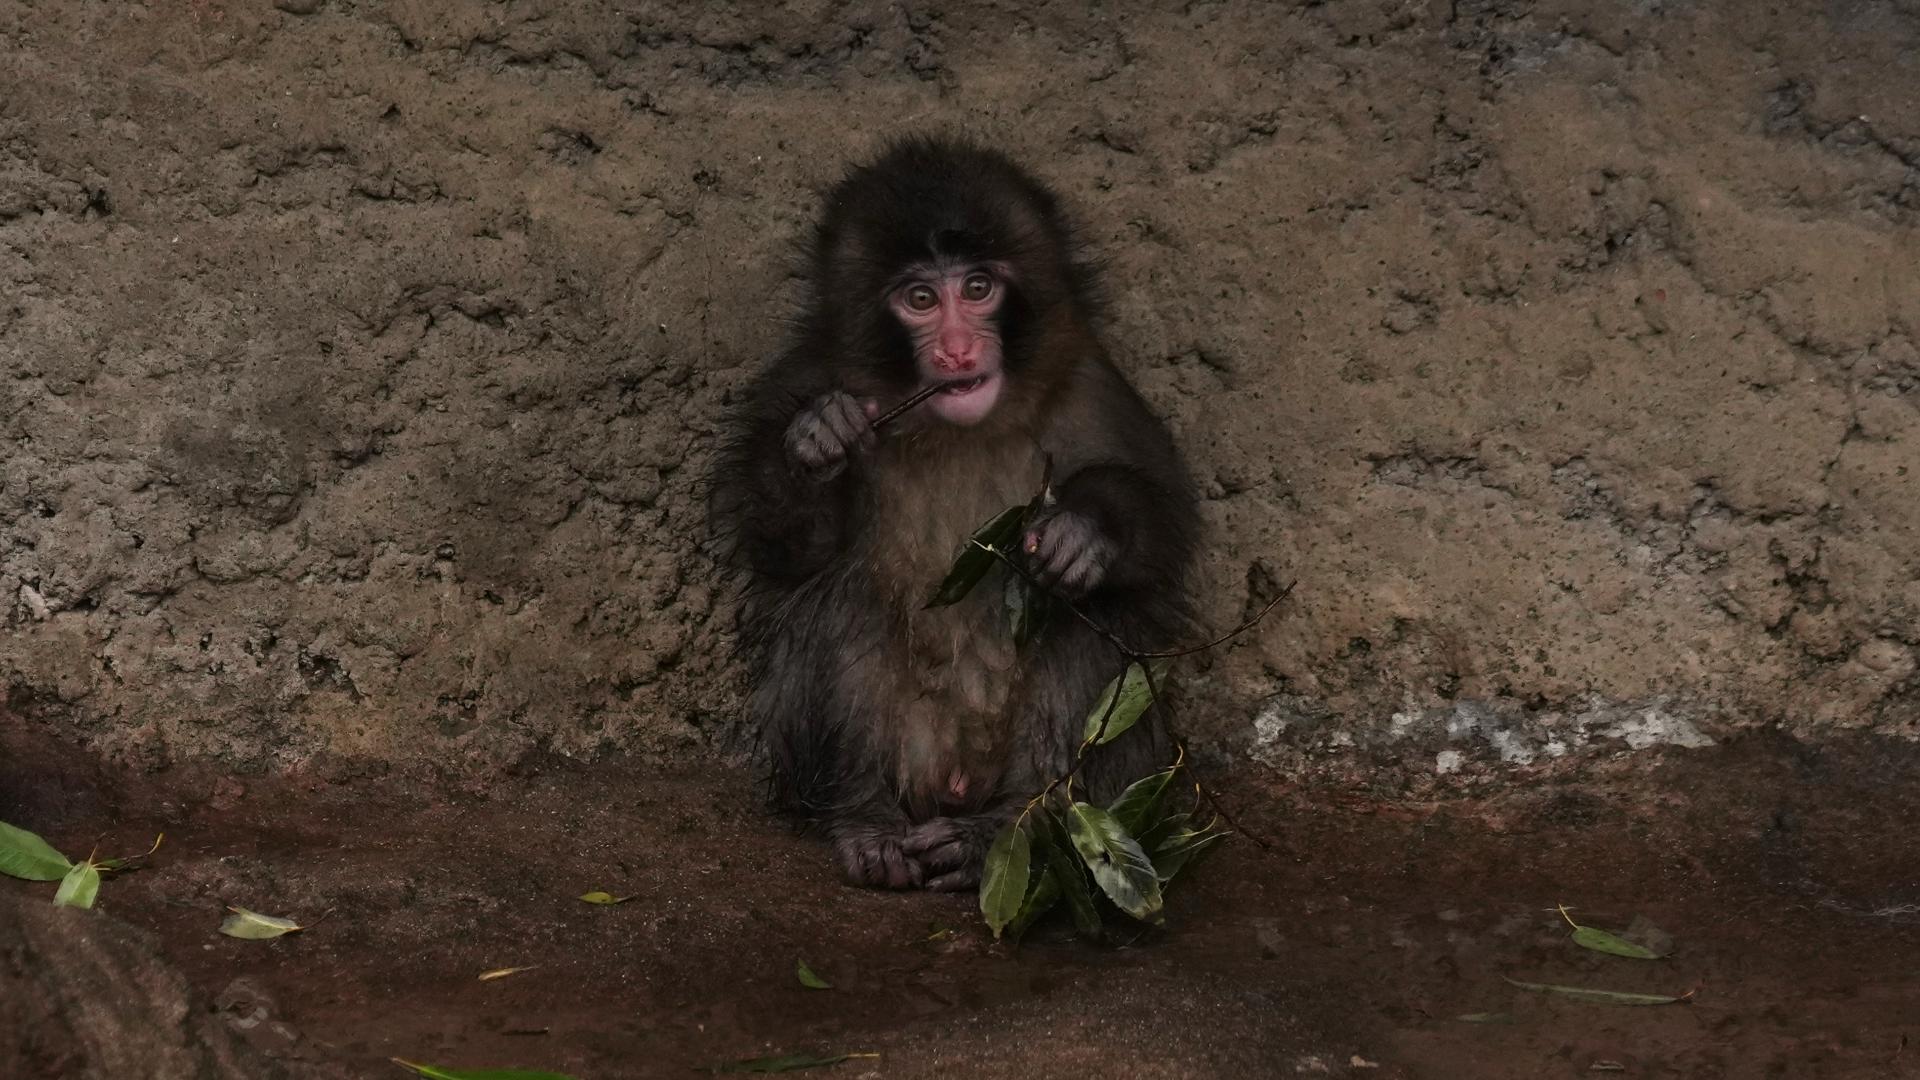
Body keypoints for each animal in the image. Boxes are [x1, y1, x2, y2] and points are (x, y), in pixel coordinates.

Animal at [711, 135, 1200, 892]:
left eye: (976, 289)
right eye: (919, 299)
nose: (958, 351)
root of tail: (953, 784)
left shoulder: (1092, 387)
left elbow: (1164, 522)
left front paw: (1085, 533)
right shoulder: (803, 377)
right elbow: (787, 551)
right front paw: (819, 441)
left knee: (1083, 611)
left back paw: (1005, 827)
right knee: (842, 597)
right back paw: (867, 819)